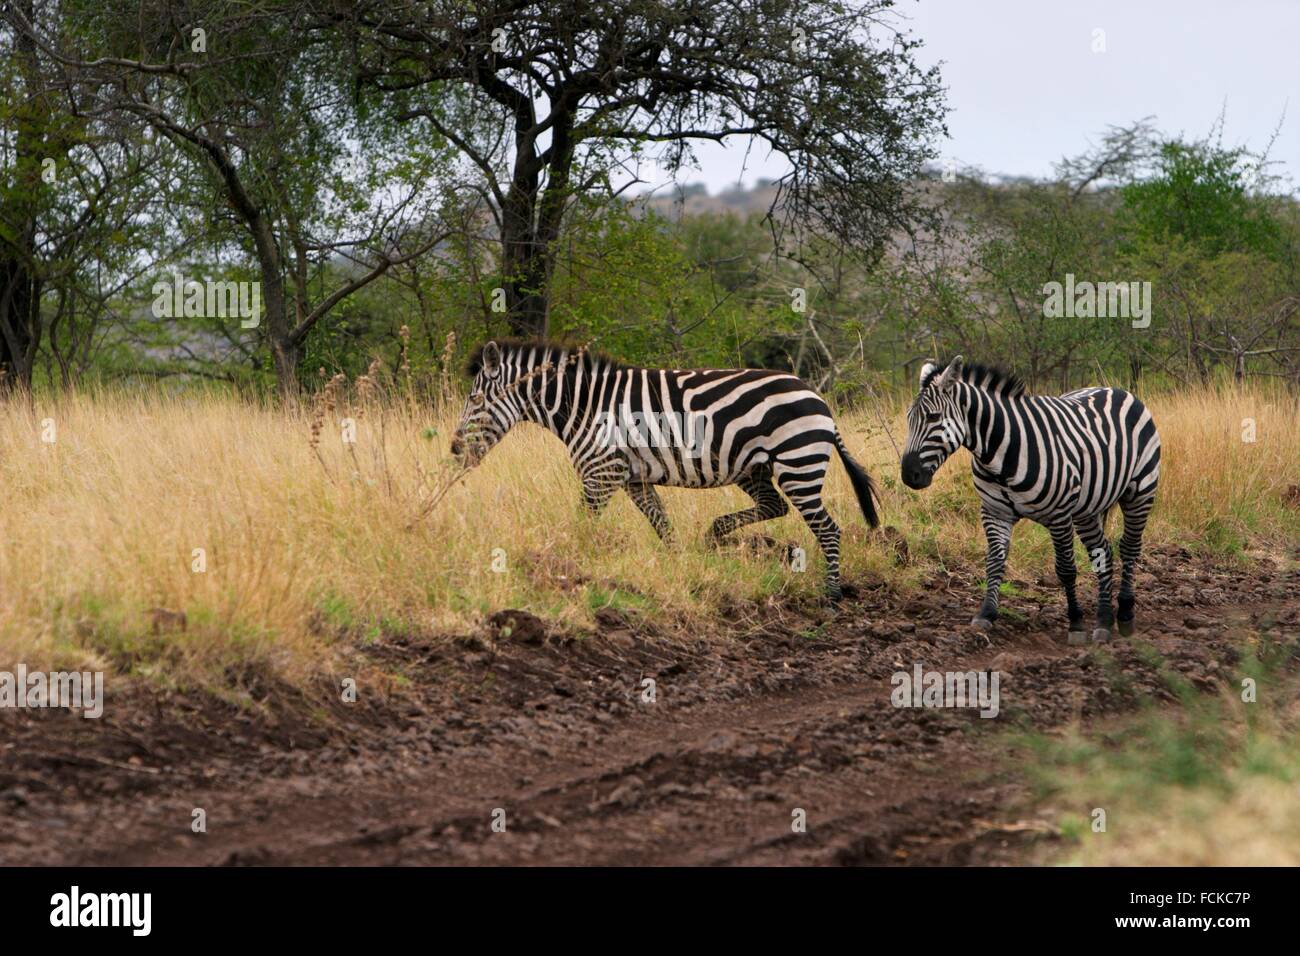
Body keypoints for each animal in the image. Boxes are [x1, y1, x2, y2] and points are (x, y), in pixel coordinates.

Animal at [449, 339, 881, 600]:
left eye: (475, 399)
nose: (454, 450)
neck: (583, 406)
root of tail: (819, 399)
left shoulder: (601, 473)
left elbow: (583, 526)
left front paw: (570, 569)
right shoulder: (632, 478)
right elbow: (663, 526)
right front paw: (680, 569)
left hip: (797, 463)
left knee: (828, 529)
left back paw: (831, 595)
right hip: (755, 469)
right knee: (775, 507)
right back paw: (714, 534)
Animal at [900, 356, 1160, 643]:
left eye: (933, 417)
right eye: (909, 418)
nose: (909, 475)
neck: (999, 456)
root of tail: (1114, 389)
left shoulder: (1059, 515)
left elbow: (1065, 569)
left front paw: (1076, 624)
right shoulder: (994, 512)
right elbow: (994, 561)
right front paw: (986, 614)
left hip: (1140, 490)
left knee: (1129, 547)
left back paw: (1124, 613)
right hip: (1087, 508)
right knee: (1102, 551)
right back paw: (1103, 620)